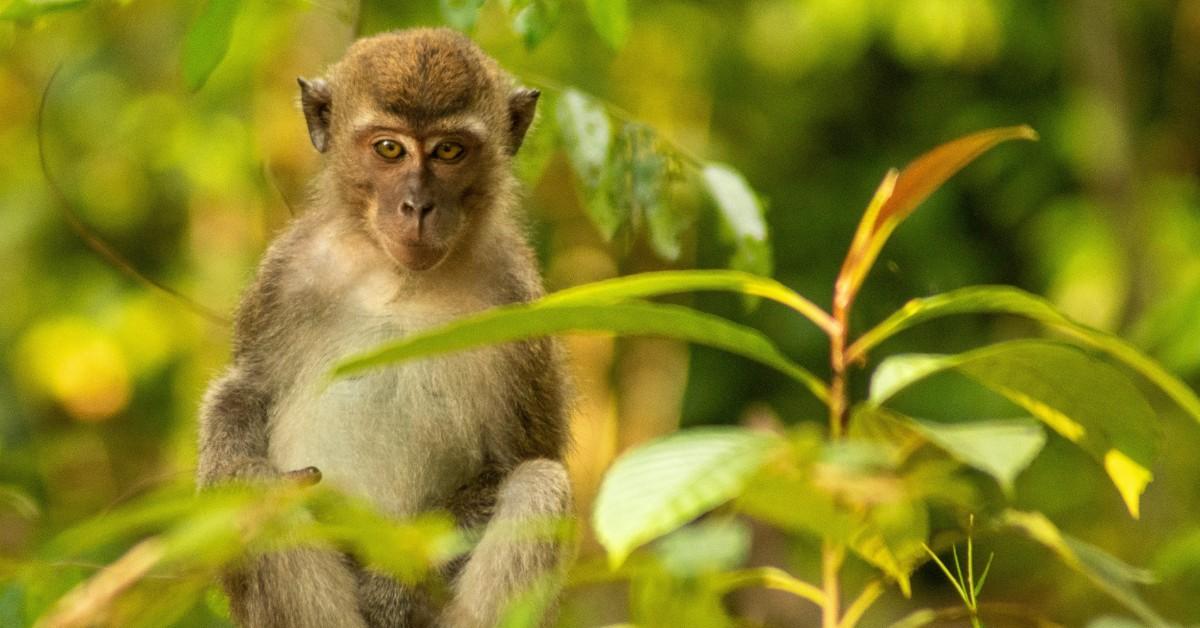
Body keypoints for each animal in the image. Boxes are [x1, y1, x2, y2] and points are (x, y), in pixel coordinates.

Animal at [196, 28, 572, 628]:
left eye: (449, 150)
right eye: (389, 149)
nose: (416, 206)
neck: (400, 279)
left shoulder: (518, 304)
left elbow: (517, 458)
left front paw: (393, 589)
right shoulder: (287, 273)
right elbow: (243, 393)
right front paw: (230, 473)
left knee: (540, 484)